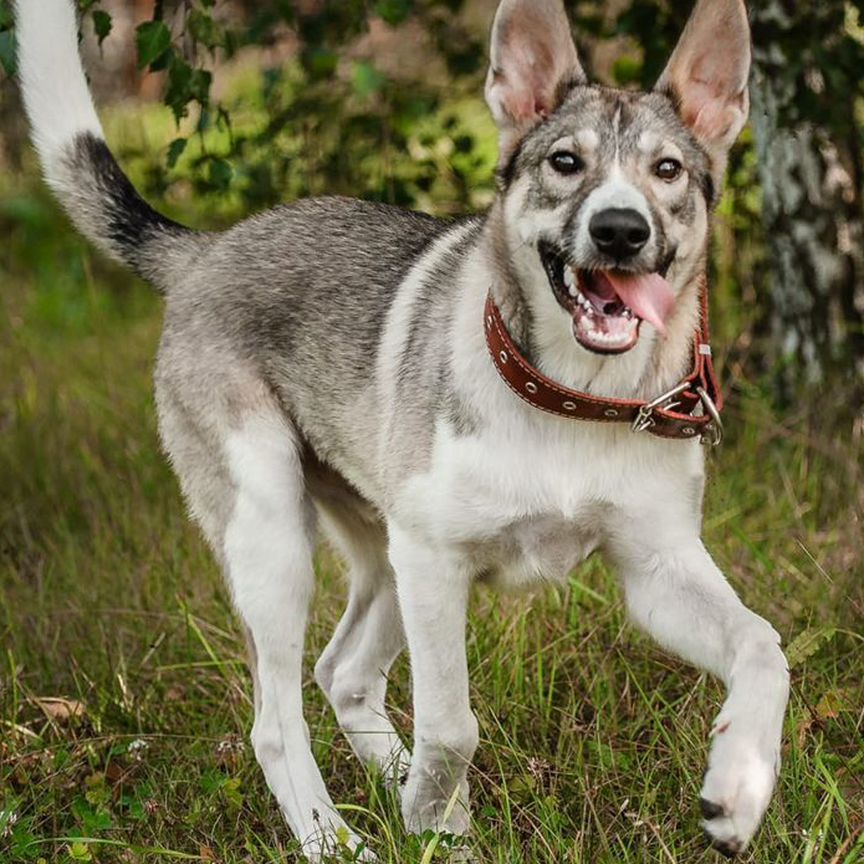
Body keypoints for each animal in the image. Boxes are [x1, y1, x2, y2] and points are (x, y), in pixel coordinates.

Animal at [18, 0, 788, 856]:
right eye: (564, 162)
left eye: (668, 171)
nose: (620, 231)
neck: (569, 397)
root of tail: (207, 251)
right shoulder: (435, 562)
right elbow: (452, 726)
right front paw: (427, 804)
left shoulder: (656, 570)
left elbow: (763, 645)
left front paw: (740, 787)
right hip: (274, 539)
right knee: (277, 722)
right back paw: (341, 838)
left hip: (380, 548)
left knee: (344, 675)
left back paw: (427, 816)